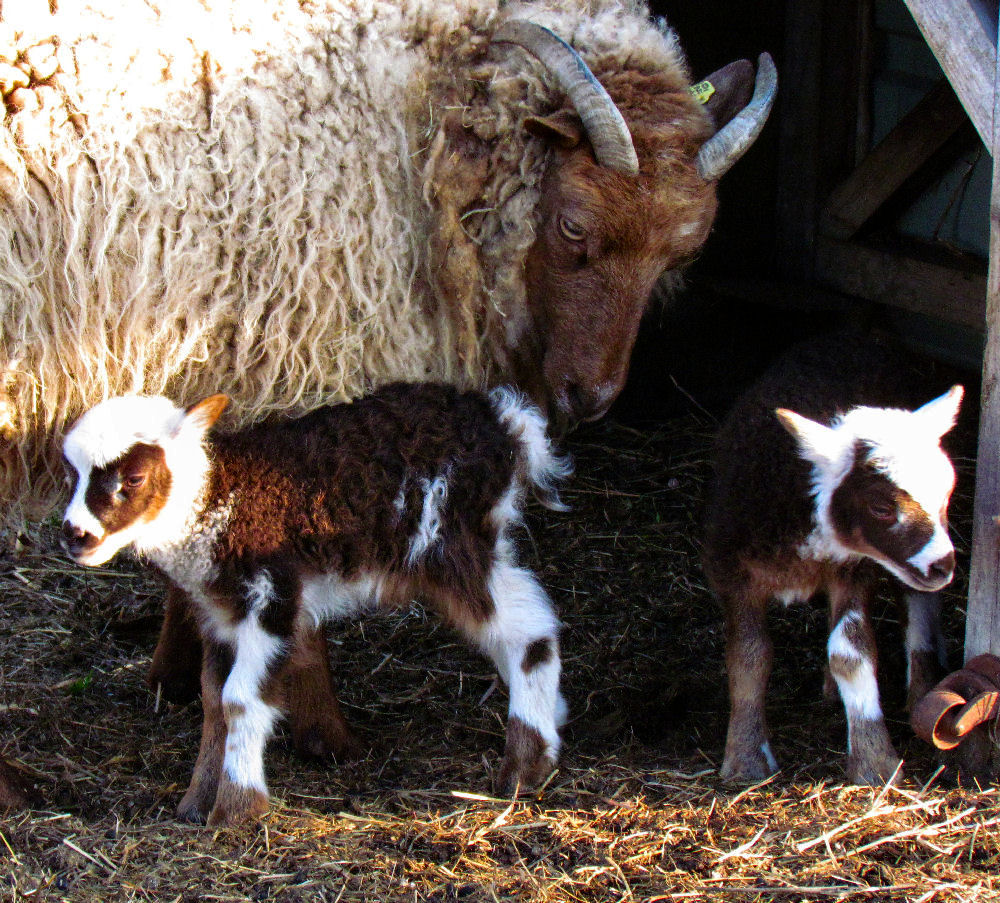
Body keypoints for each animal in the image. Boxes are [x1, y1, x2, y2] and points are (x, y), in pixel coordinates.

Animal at [61, 382, 572, 826]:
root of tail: (505, 419)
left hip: (448, 542)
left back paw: (525, 767)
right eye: (73, 475)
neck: (217, 500)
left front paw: (236, 810)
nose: (75, 535)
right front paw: (196, 802)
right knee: (513, 627)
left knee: (530, 630)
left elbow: (239, 700)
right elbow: (212, 700)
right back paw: (552, 721)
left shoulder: (270, 598)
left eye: (134, 477)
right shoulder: (219, 612)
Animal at [702, 337, 963, 785]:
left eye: (947, 493)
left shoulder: (854, 571)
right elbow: (750, 654)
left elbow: (851, 653)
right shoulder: (731, 569)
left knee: (916, 601)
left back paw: (921, 689)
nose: (943, 565)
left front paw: (874, 761)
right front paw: (747, 758)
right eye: (880, 507)